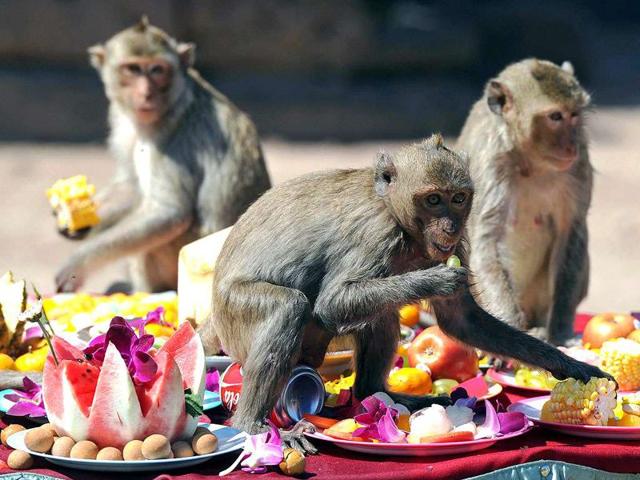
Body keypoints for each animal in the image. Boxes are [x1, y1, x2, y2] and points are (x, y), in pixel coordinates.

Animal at [54, 17, 271, 293]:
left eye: (158, 69)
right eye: (133, 69)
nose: (146, 93)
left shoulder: (171, 136)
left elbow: (169, 212)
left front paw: (78, 263)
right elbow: (132, 188)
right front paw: (75, 218)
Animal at [200, 135, 610, 452]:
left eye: (458, 198)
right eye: (433, 200)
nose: (449, 225)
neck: (400, 221)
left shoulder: (458, 242)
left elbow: (462, 321)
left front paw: (570, 365)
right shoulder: (376, 232)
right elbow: (332, 302)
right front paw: (435, 280)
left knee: (379, 316)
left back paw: (375, 393)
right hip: (235, 315)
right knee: (291, 306)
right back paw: (252, 426)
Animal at [457, 58, 592, 346]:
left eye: (574, 114)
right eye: (555, 117)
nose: (571, 146)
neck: (530, 162)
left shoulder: (579, 164)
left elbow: (572, 233)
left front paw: (561, 331)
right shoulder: (490, 164)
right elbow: (487, 242)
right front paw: (508, 330)